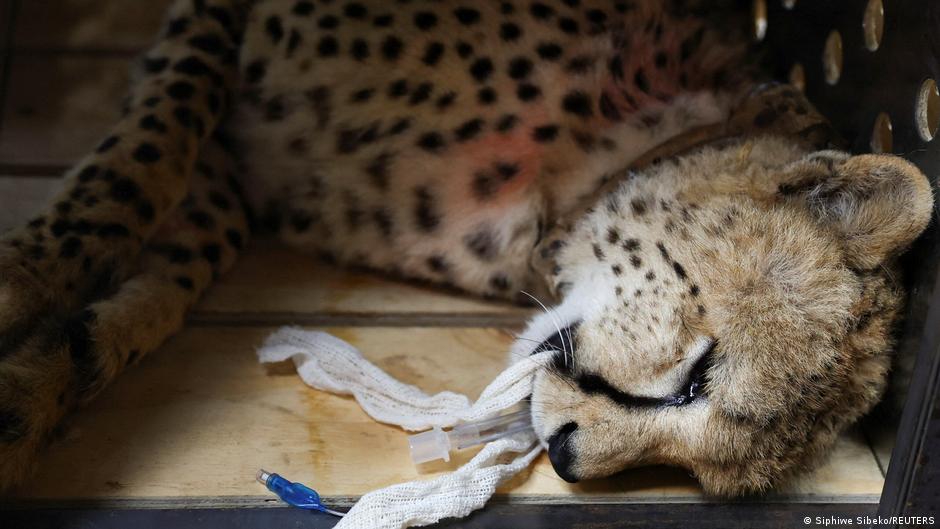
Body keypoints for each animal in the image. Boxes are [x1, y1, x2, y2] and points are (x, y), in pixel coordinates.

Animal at [0, 0, 933, 497]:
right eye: (699, 375)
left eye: (701, 471)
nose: (569, 457)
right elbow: (139, 163)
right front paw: (23, 279)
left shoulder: (231, 181)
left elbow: (150, 289)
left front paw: (28, 394)